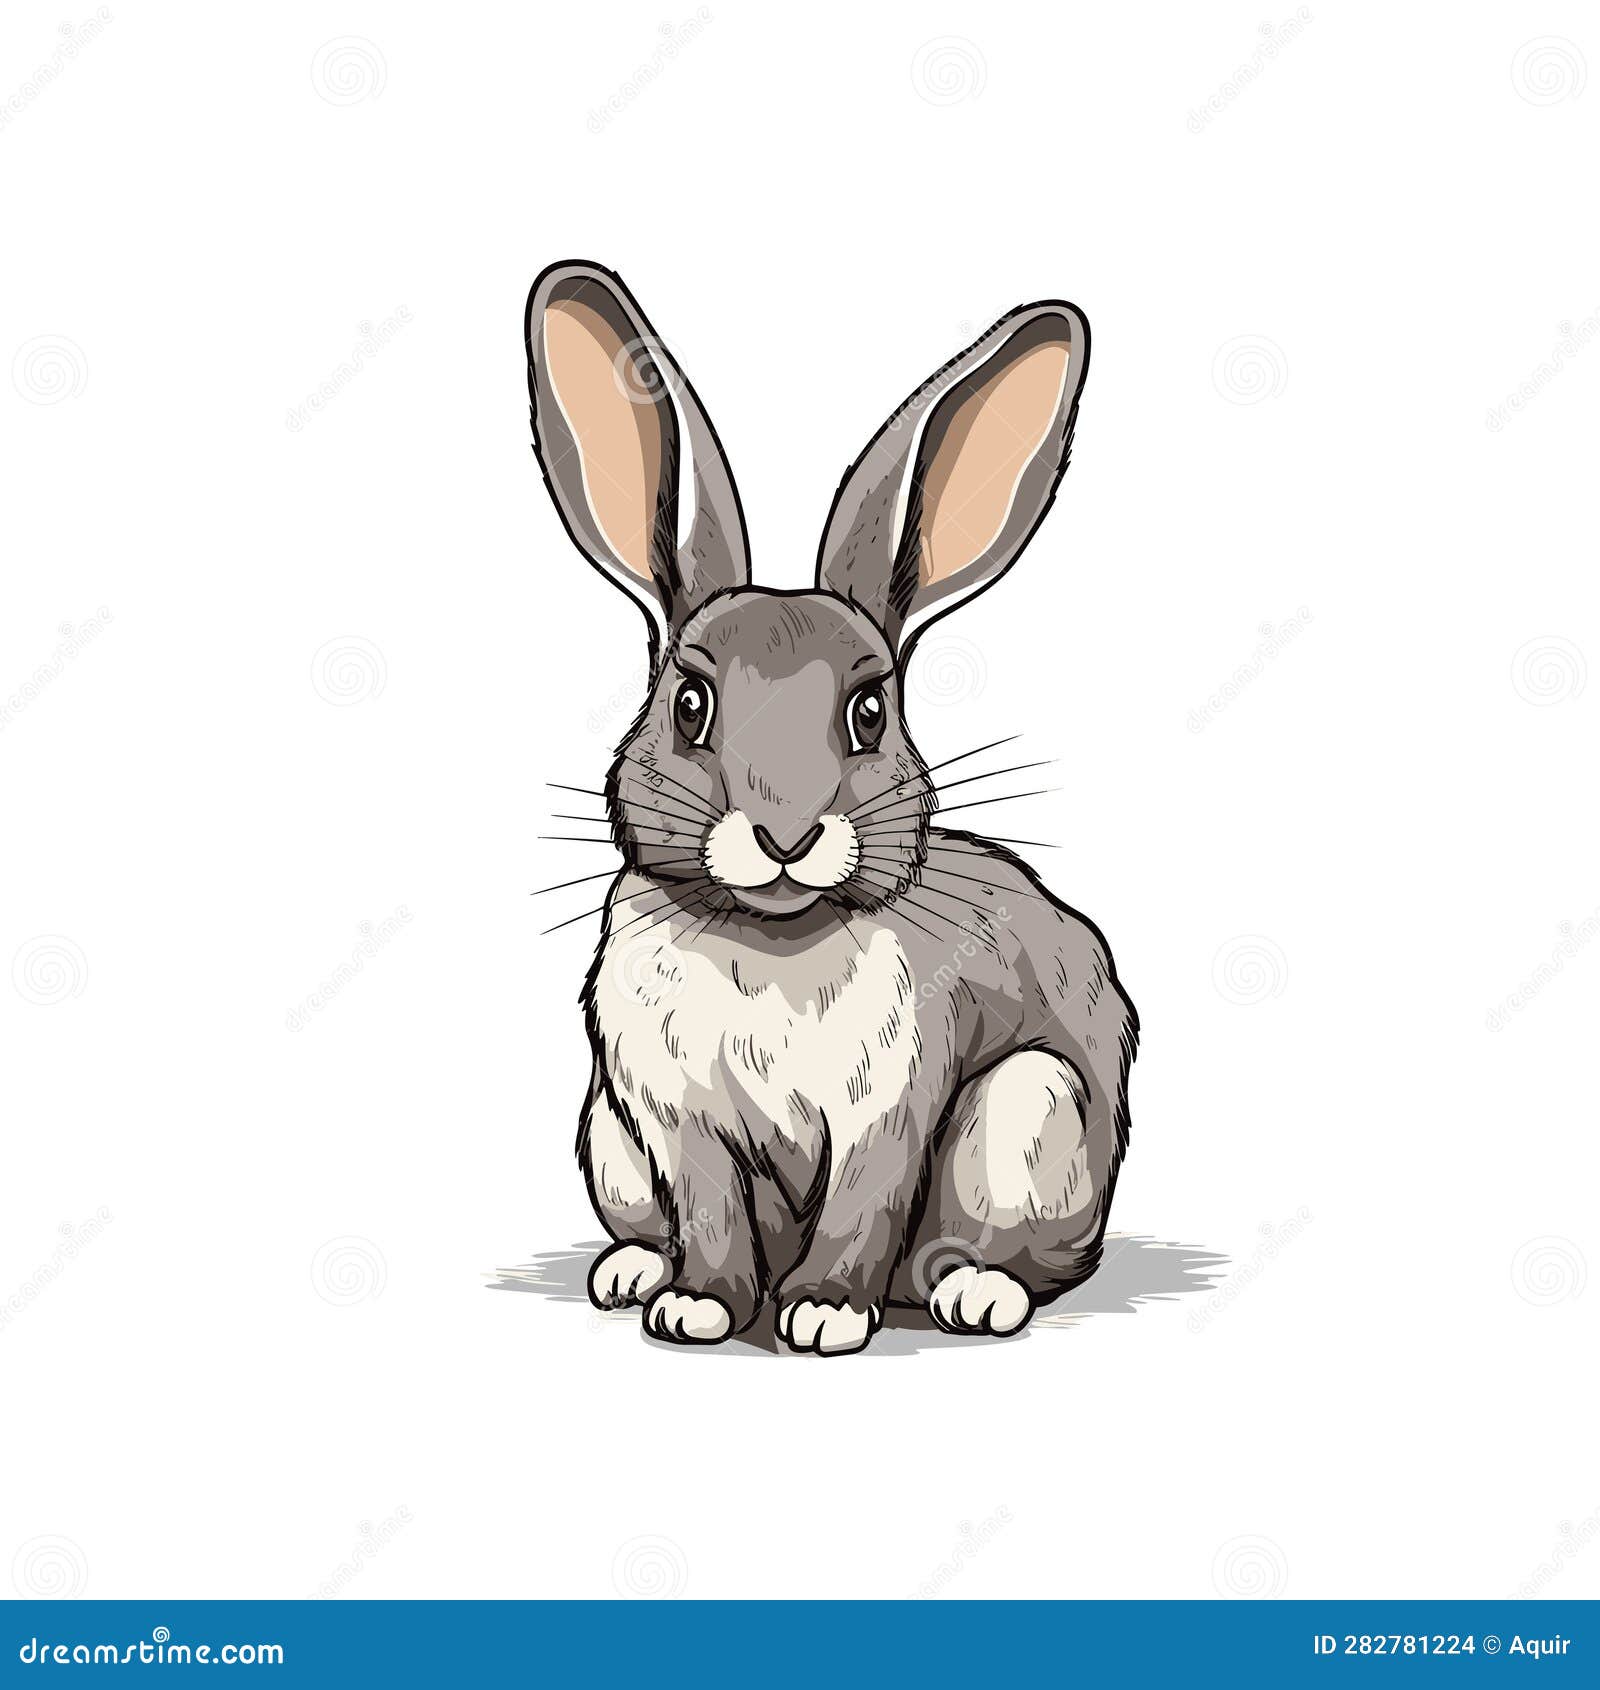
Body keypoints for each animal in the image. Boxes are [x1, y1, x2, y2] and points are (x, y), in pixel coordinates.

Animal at [526, 260, 1137, 1355]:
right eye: (689, 705)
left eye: (868, 713)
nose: (786, 832)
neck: (766, 938)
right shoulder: (674, 1122)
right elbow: (711, 1216)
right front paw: (697, 1306)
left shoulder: (891, 1108)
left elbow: (862, 1206)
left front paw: (820, 1312)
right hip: (606, 1133)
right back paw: (634, 1271)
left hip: (1032, 1109)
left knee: (1017, 1255)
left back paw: (975, 1293)